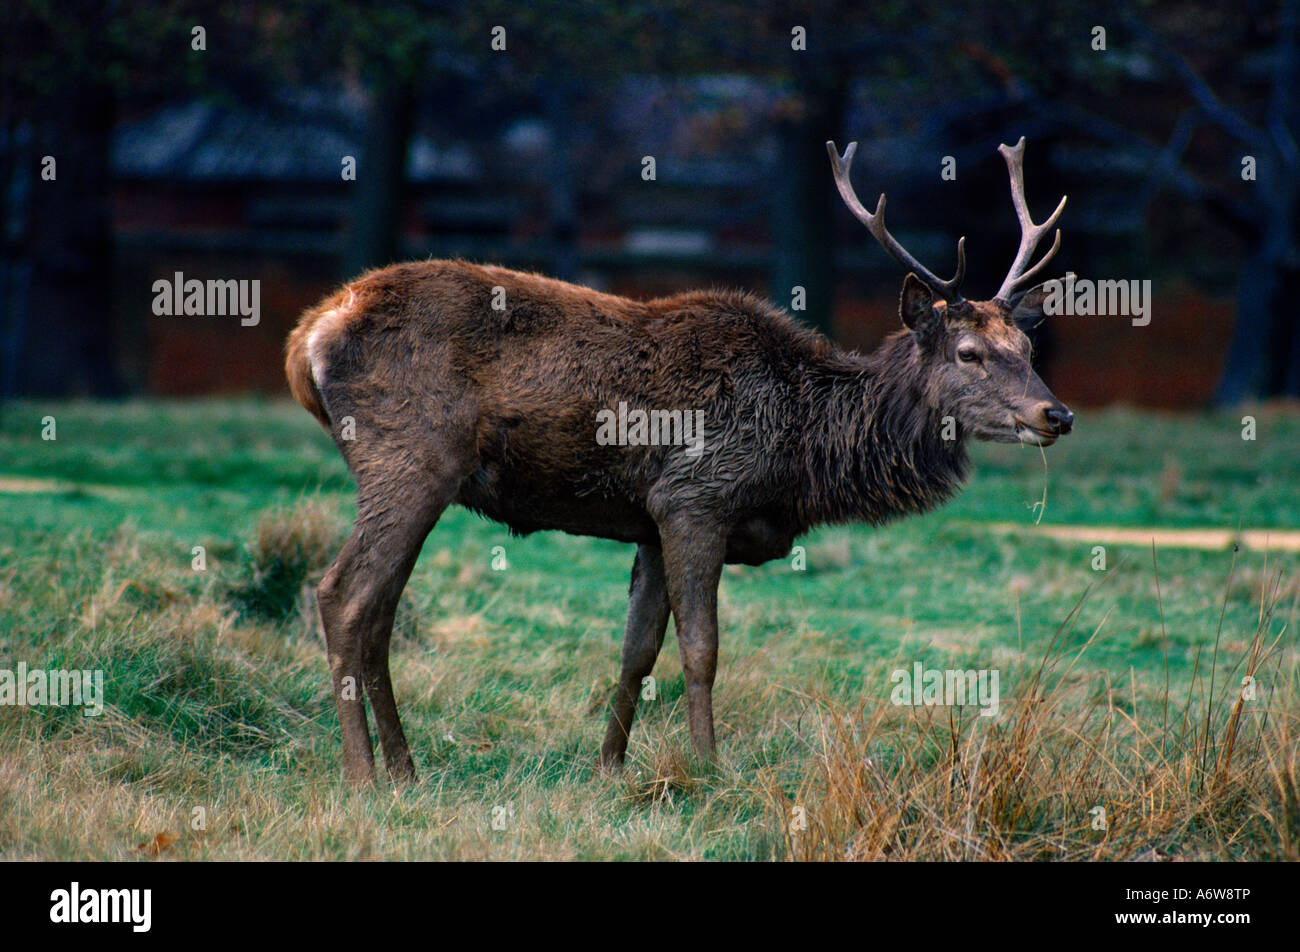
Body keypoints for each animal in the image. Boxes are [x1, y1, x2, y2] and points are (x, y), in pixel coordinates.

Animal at [285, 136, 1073, 785]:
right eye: (968, 353)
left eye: (1026, 347)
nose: (1055, 414)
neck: (800, 460)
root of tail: (309, 335)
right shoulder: (695, 497)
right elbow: (702, 649)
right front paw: (708, 769)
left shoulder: (648, 522)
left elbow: (636, 651)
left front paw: (607, 767)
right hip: (408, 456)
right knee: (343, 595)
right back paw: (363, 776)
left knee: (381, 610)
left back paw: (406, 767)